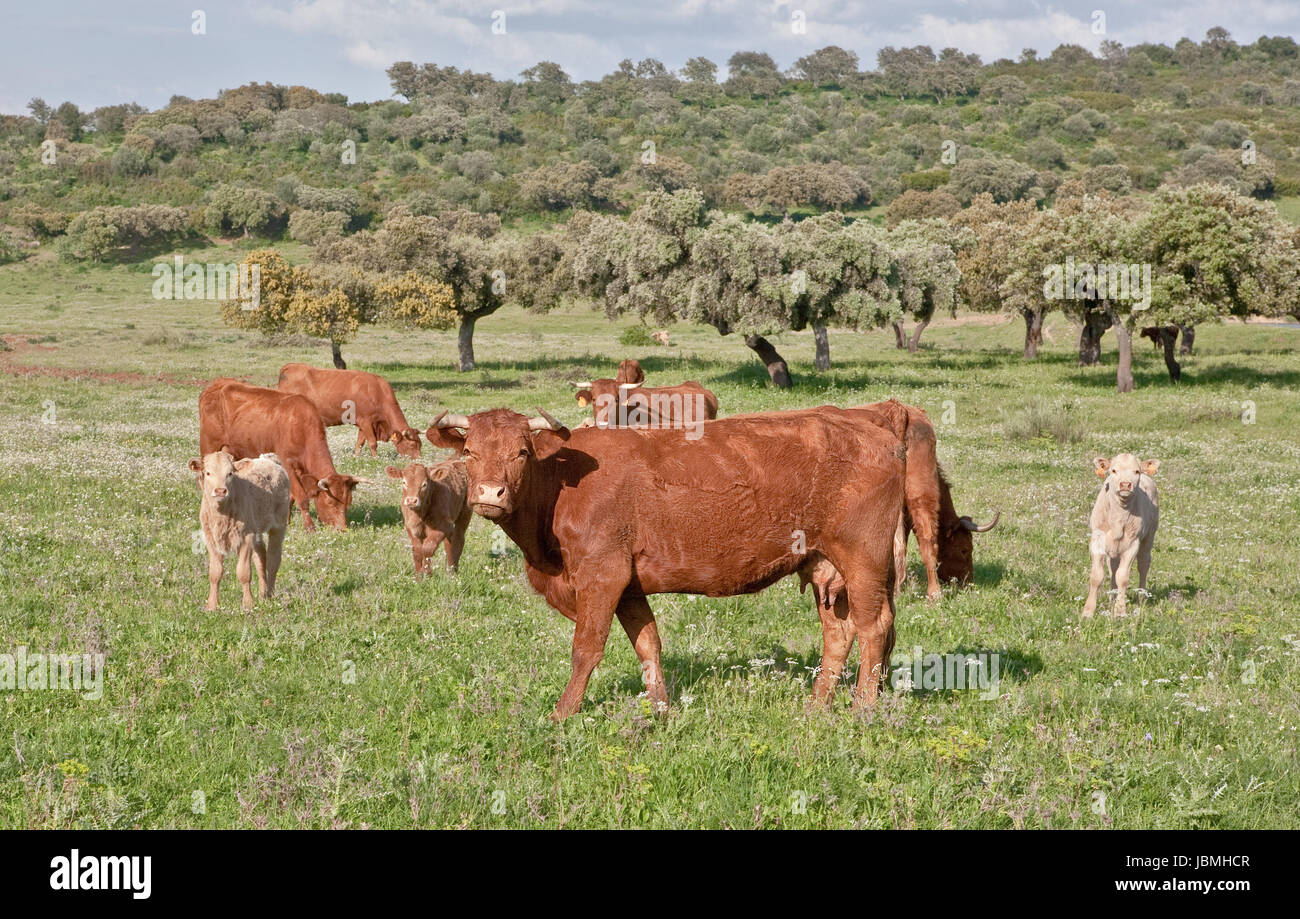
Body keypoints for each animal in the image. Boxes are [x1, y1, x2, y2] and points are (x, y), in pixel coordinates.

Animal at [188, 451, 291, 611]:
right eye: (208, 472)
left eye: (230, 473)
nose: (220, 491)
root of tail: (269, 459)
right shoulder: (211, 539)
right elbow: (215, 573)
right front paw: (212, 605)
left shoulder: (246, 538)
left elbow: (243, 572)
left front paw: (248, 603)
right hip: (256, 528)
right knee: (261, 557)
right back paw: (263, 594)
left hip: (279, 525)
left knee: (273, 558)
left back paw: (270, 593)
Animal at [199, 379, 369, 531]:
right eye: (330, 503)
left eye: (348, 502)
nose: (342, 529)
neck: (301, 425)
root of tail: (216, 385)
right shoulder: (287, 463)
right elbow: (301, 497)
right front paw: (310, 528)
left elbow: (290, 497)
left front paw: (285, 521)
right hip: (208, 446)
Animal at [277, 362, 421, 459]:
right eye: (412, 445)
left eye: (420, 445)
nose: (418, 460)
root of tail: (291, 366)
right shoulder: (366, 421)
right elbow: (373, 443)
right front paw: (376, 459)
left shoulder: (364, 424)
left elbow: (360, 443)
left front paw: (357, 458)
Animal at [428, 405, 905, 720]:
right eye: (469, 451)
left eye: (522, 452)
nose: (490, 493)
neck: (560, 484)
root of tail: (869, 422)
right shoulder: (628, 585)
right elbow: (648, 643)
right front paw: (660, 709)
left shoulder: (602, 574)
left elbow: (586, 649)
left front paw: (563, 712)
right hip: (827, 567)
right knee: (839, 634)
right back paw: (816, 706)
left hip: (863, 560)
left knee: (874, 628)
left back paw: (862, 708)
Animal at [1082, 453, 1160, 617]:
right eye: (1113, 470)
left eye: (1136, 471)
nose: (1125, 484)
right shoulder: (1097, 540)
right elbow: (1097, 576)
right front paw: (1088, 611)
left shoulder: (1132, 544)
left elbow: (1122, 577)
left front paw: (1120, 611)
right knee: (1113, 567)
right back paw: (1112, 597)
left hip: (1149, 535)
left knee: (1144, 564)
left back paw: (1142, 598)